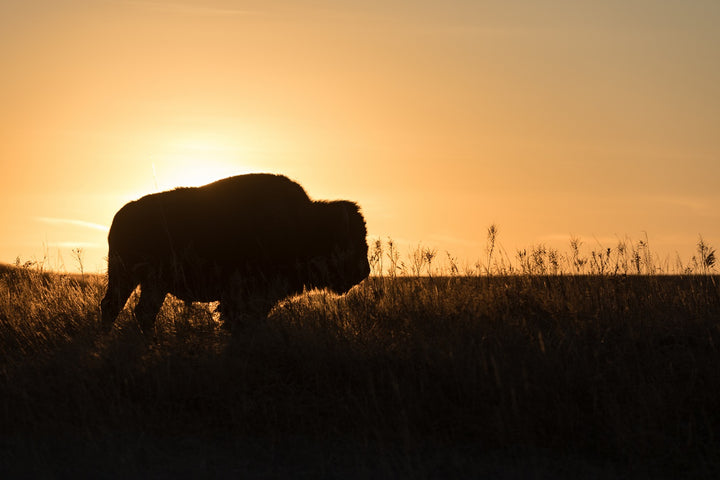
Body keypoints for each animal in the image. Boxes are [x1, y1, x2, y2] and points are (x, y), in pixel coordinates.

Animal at [100, 173, 370, 333]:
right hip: (129, 277)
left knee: (141, 311)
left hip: (151, 282)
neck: (303, 224)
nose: (364, 270)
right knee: (115, 307)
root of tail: (121, 215)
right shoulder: (243, 295)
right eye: (352, 238)